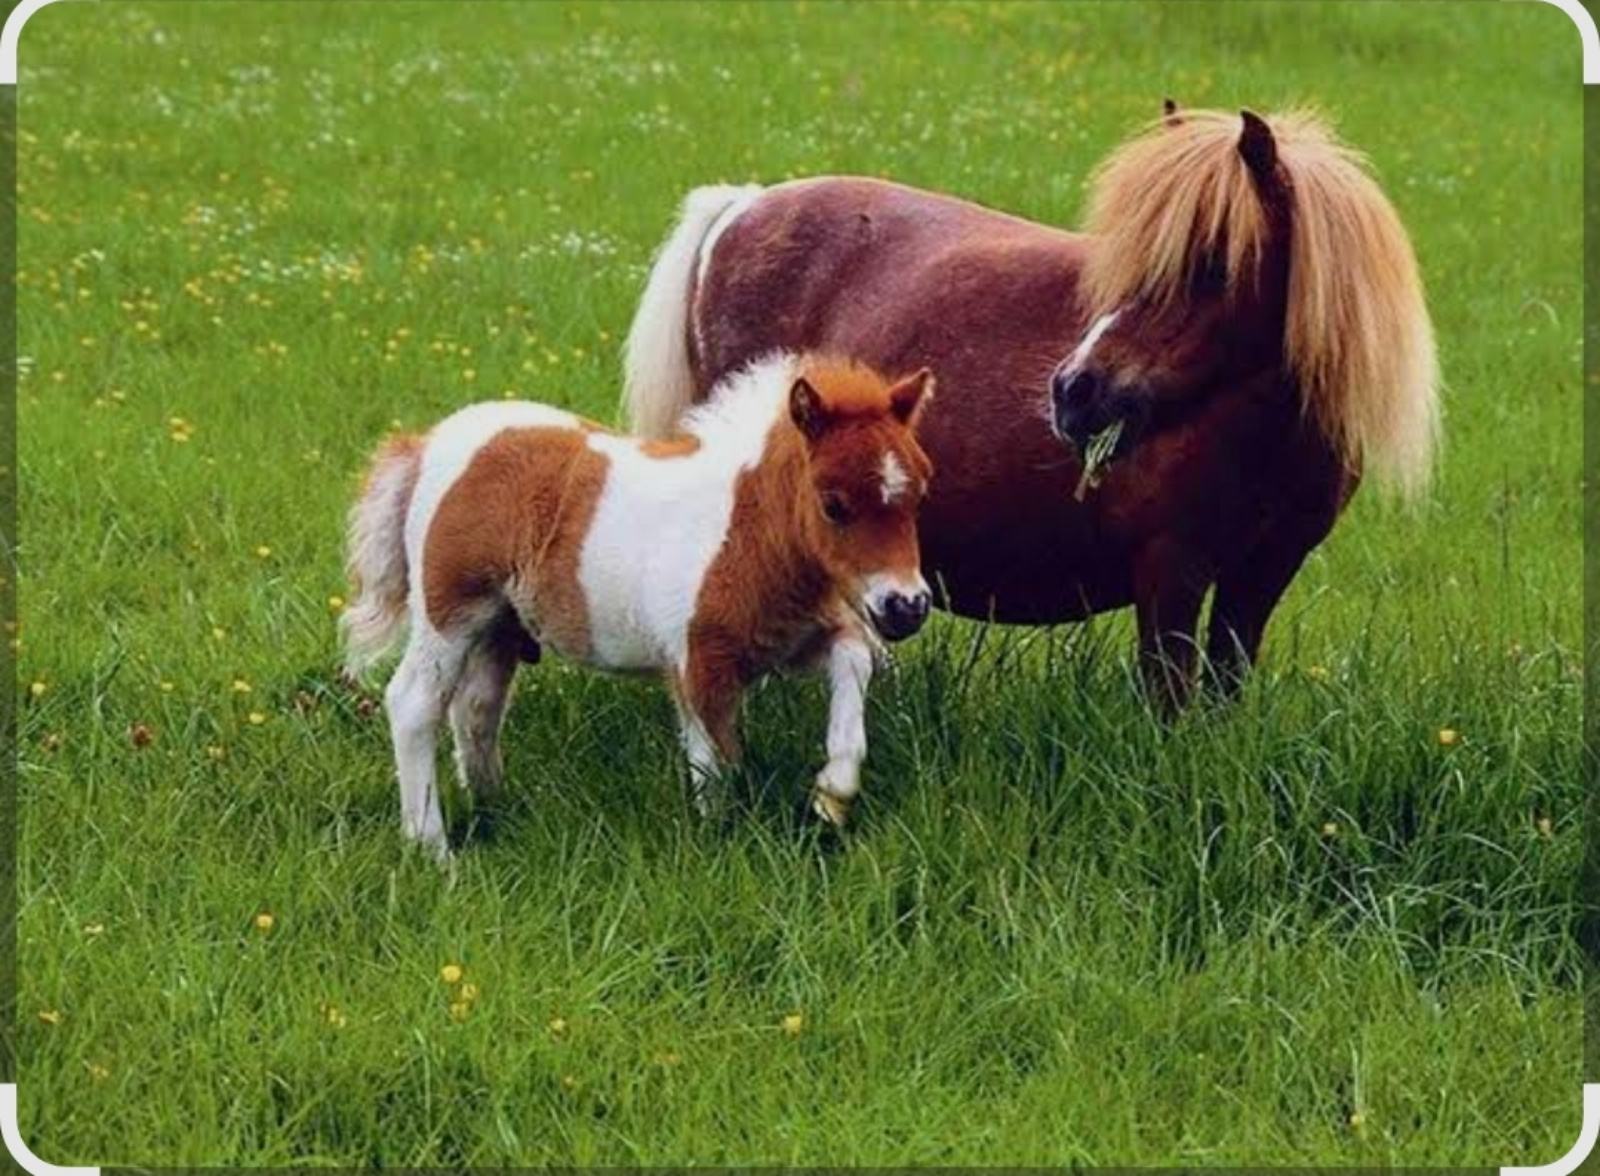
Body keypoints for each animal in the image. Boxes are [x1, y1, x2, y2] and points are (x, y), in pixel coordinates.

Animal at [341, 354, 935, 856]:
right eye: (833, 504)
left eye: (919, 495)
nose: (906, 606)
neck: (742, 531)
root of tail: (426, 445)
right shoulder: (700, 665)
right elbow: (718, 766)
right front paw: (721, 849)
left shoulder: (789, 643)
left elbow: (853, 662)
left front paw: (832, 793)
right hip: (450, 614)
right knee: (413, 703)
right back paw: (433, 849)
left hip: (498, 626)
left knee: (476, 709)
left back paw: (495, 812)